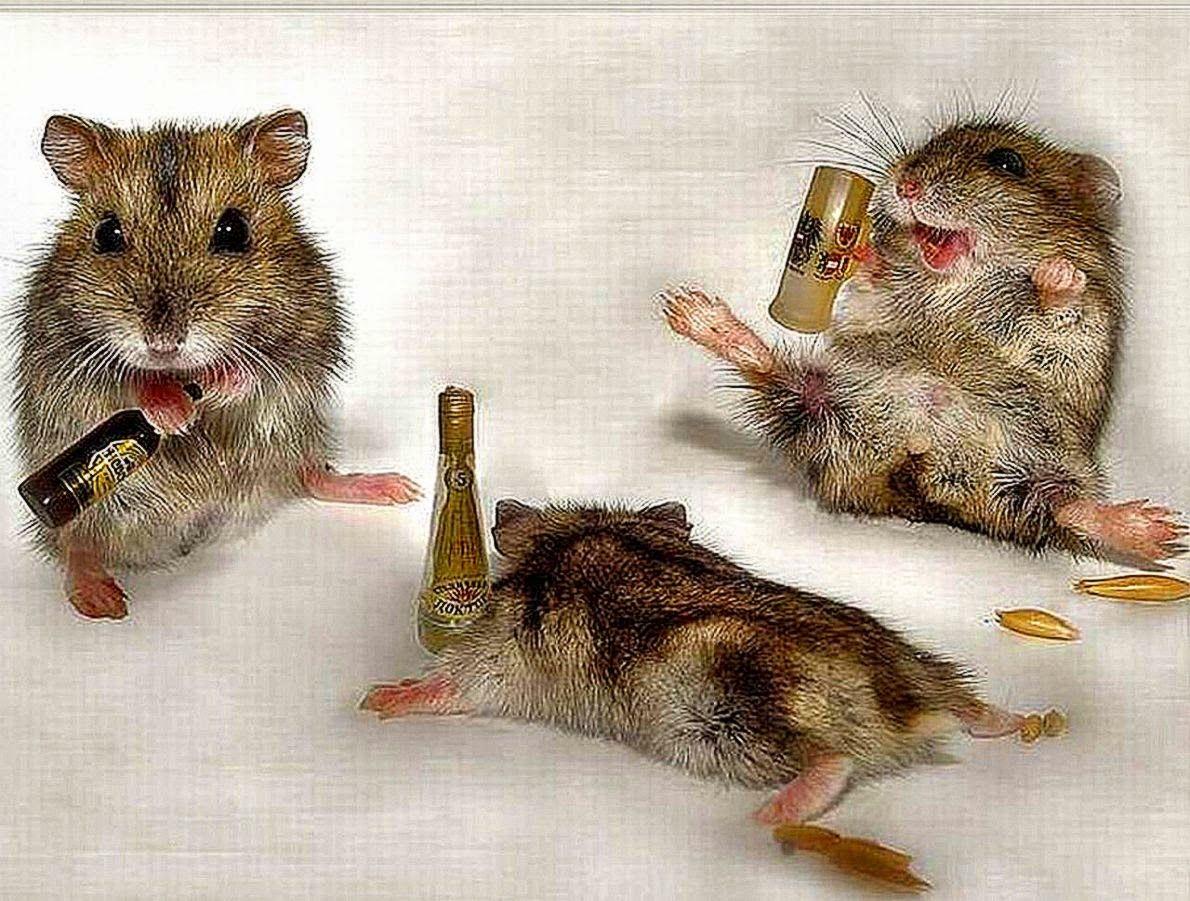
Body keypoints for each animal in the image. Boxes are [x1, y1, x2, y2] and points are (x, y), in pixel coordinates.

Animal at [14, 110, 421, 620]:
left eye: (234, 231)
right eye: (106, 233)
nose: (162, 343)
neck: (180, 370)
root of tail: (190, 535)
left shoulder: (309, 335)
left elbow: (262, 372)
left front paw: (219, 380)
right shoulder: (65, 351)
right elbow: (126, 381)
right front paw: (175, 412)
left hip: (294, 439)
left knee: (309, 477)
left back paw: (397, 488)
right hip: (82, 501)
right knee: (75, 541)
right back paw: (101, 601)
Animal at [361, 501, 1035, 825]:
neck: (574, 535)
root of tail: (912, 709)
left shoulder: (493, 655)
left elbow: (448, 683)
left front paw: (375, 697)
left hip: (735, 717)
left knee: (832, 762)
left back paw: (768, 818)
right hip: (918, 663)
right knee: (970, 702)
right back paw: (1020, 721)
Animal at [663, 118, 1184, 565]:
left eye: (1008, 162)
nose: (905, 185)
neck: (951, 282)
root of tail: (920, 475)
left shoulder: (1083, 327)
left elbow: (1061, 308)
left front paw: (1055, 274)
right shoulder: (873, 305)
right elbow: (873, 285)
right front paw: (861, 248)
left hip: (1047, 464)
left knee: (1063, 509)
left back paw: (1156, 529)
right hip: (824, 408)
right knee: (773, 371)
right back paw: (693, 312)